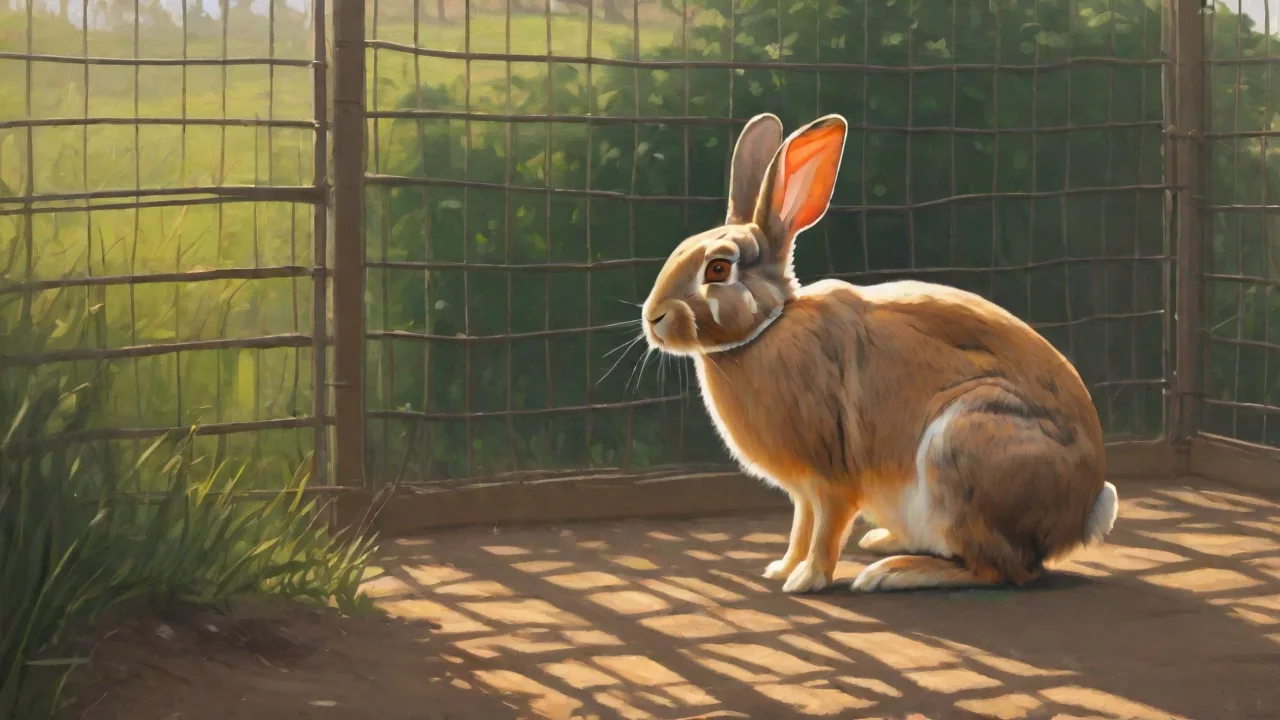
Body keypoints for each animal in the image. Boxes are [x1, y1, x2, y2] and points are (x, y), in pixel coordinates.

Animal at [640, 112, 1118, 594]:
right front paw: (781, 568)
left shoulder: (832, 477)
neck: (767, 327)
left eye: (718, 268)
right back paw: (884, 543)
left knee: (1002, 569)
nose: (653, 318)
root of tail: (1085, 508)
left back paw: (893, 572)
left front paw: (807, 580)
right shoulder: (804, 491)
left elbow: (825, 528)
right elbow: (800, 525)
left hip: (964, 447)